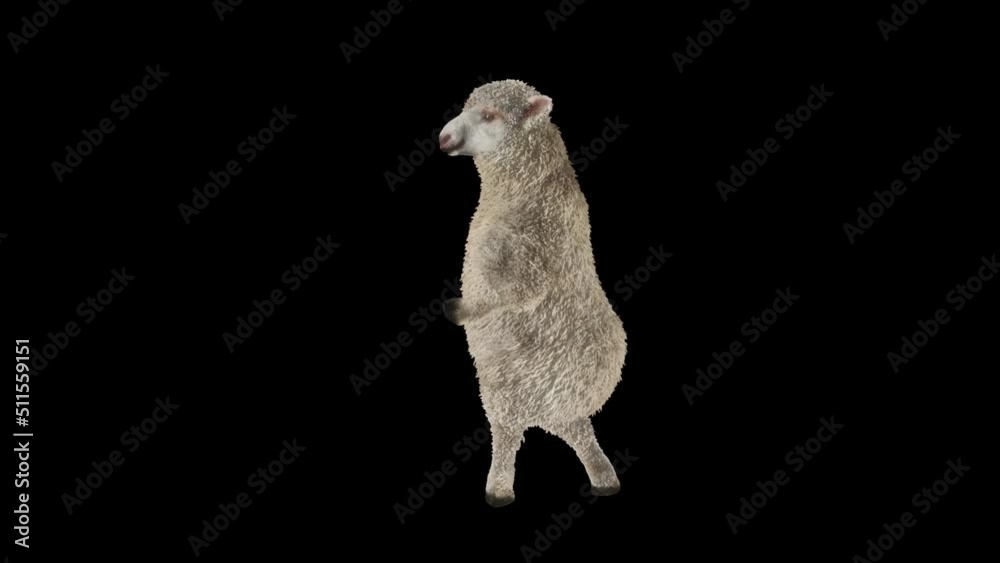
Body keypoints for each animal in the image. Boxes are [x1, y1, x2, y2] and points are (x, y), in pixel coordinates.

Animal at [438, 79, 627, 507]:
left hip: (515, 388)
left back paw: (499, 488)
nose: (444, 138)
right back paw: (602, 478)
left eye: (490, 115)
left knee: (513, 435)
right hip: (512, 392)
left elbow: (518, 293)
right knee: (561, 435)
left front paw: (460, 310)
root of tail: (547, 412)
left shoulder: (534, 255)